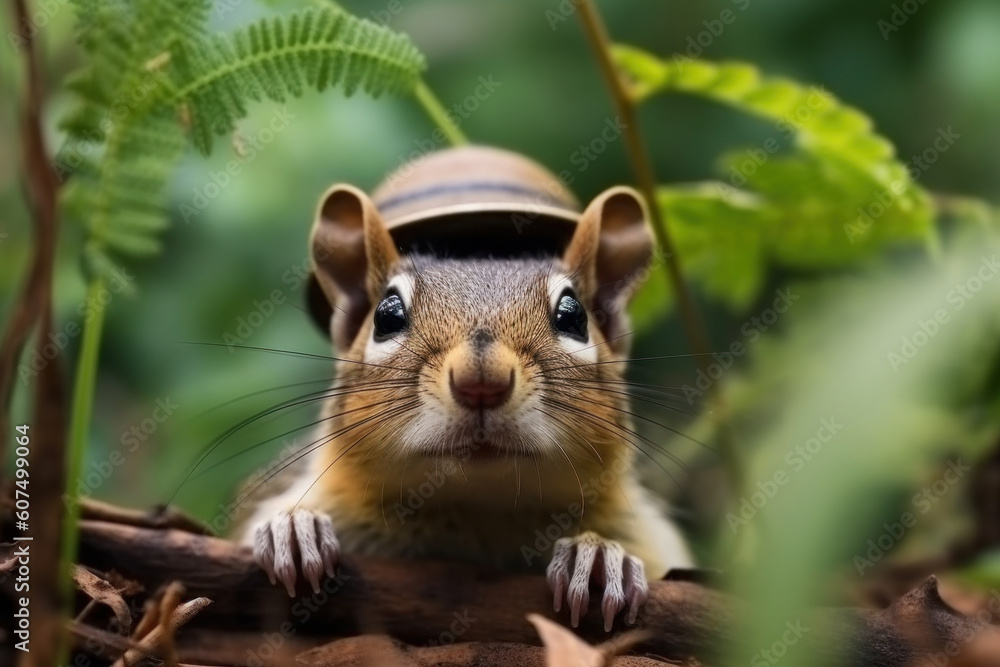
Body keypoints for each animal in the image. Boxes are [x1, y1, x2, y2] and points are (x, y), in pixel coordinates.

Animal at [234, 145, 692, 632]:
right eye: (386, 316)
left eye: (573, 316)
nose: (481, 382)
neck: (477, 515)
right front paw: (293, 528)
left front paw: (601, 557)